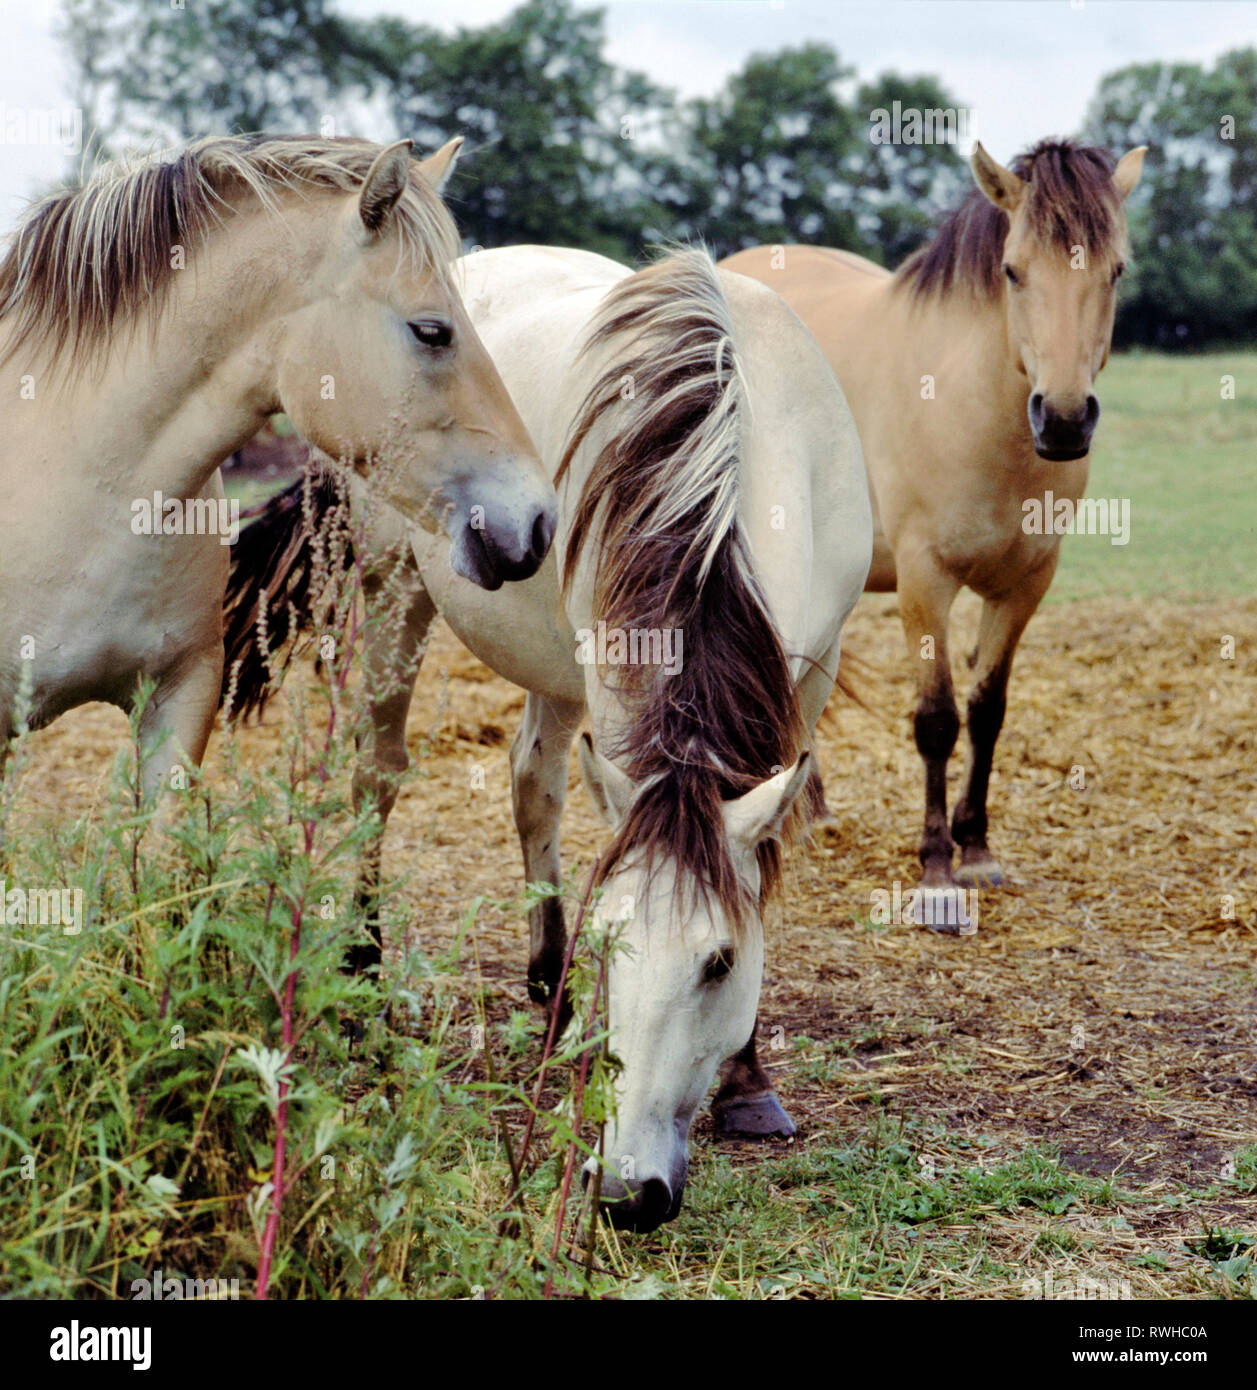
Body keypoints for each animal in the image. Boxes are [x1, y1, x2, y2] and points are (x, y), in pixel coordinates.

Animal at [223, 244, 872, 1231]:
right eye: (613, 945)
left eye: (720, 961)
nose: (630, 1192)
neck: (748, 436)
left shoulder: (811, 669)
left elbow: (753, 868)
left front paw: (748, 1082)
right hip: (392, 589)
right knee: (379, 774)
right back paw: (367, 964)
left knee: (534, 785)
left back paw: (546, 988)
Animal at [723, 138, 1146, 906]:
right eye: (1012, 271)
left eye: (1115, 271)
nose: (1064, 420)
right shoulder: (925, 581)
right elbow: (936, 718)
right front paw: (936, 862)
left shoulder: (1027, 584)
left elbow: (987, 710)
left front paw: (976, 847)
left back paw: (809, 808)